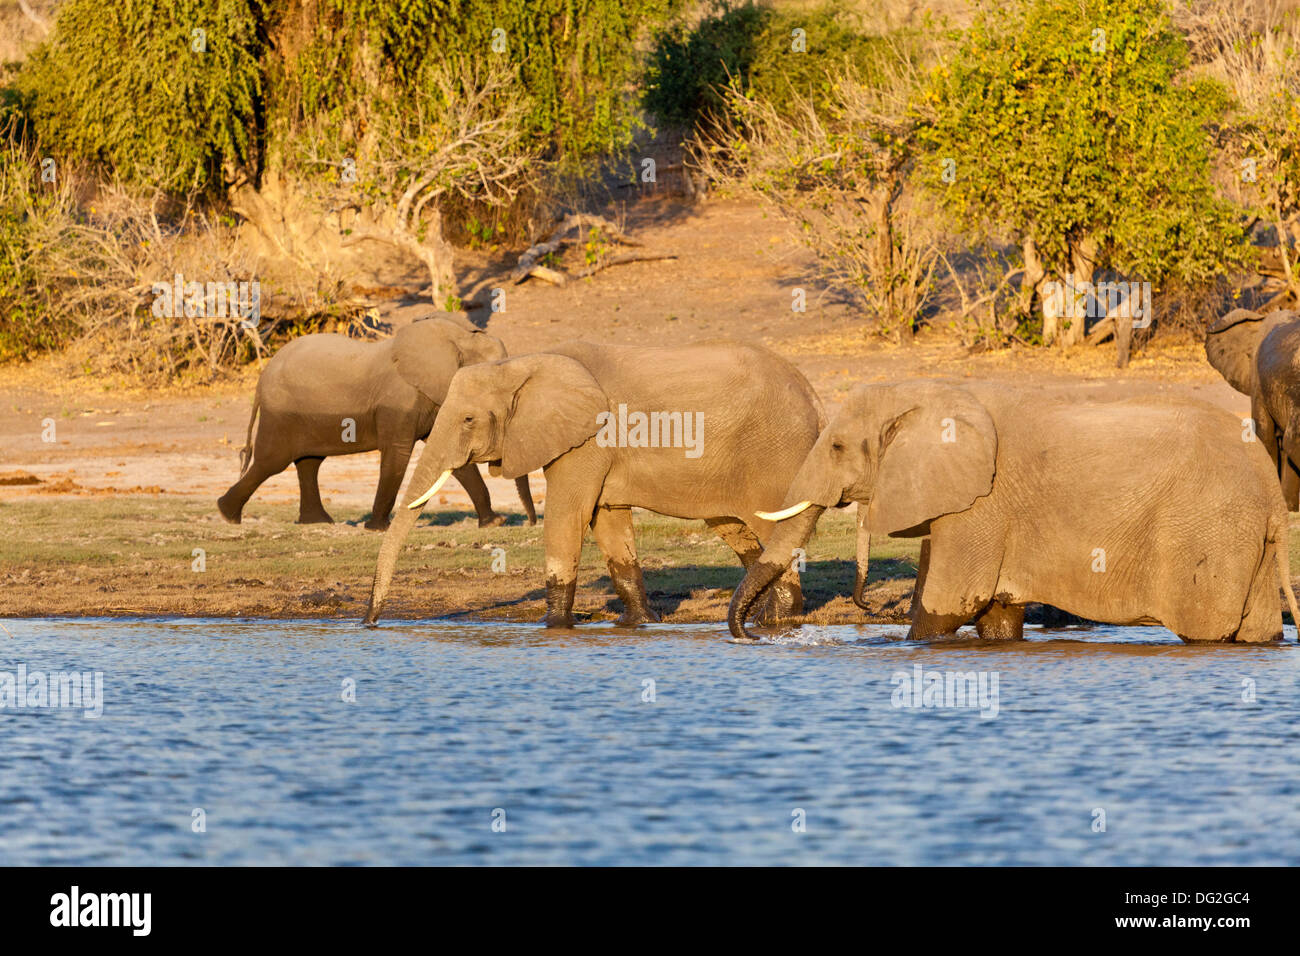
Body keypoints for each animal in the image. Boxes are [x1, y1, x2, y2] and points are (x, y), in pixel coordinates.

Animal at [217, 315, 536, 531]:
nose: (531, 523)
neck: (457, 336)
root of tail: (262, 378)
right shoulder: (399, 401)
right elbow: (397, 455)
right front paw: (376, 529)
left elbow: (451, 455)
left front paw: (494, 523)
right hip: (280, 413)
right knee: (272, 461)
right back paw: (227, 515)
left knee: (309, 463)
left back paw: (317, 522)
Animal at [363, 340, 825, 627]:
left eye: (468, 419)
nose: (369, 622)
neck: (526, 363)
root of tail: (813, 393)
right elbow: (608, 523)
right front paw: (639, 623)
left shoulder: (587, 440)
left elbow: (568, 516)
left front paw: (553, 625)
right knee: (736, 529)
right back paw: (766, 616)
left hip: (774, 453)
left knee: (773, 527)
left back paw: (778, 620)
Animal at [728, 382, 1300, 644]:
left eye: (838, 447)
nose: (753, 636)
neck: (934, 394)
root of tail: (1273, 498)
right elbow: (995, 614)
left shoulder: (981, 507)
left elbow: (948, 605)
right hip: (1245, 537)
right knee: (1256, 631)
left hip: (1208, 530)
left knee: (1206, 629)